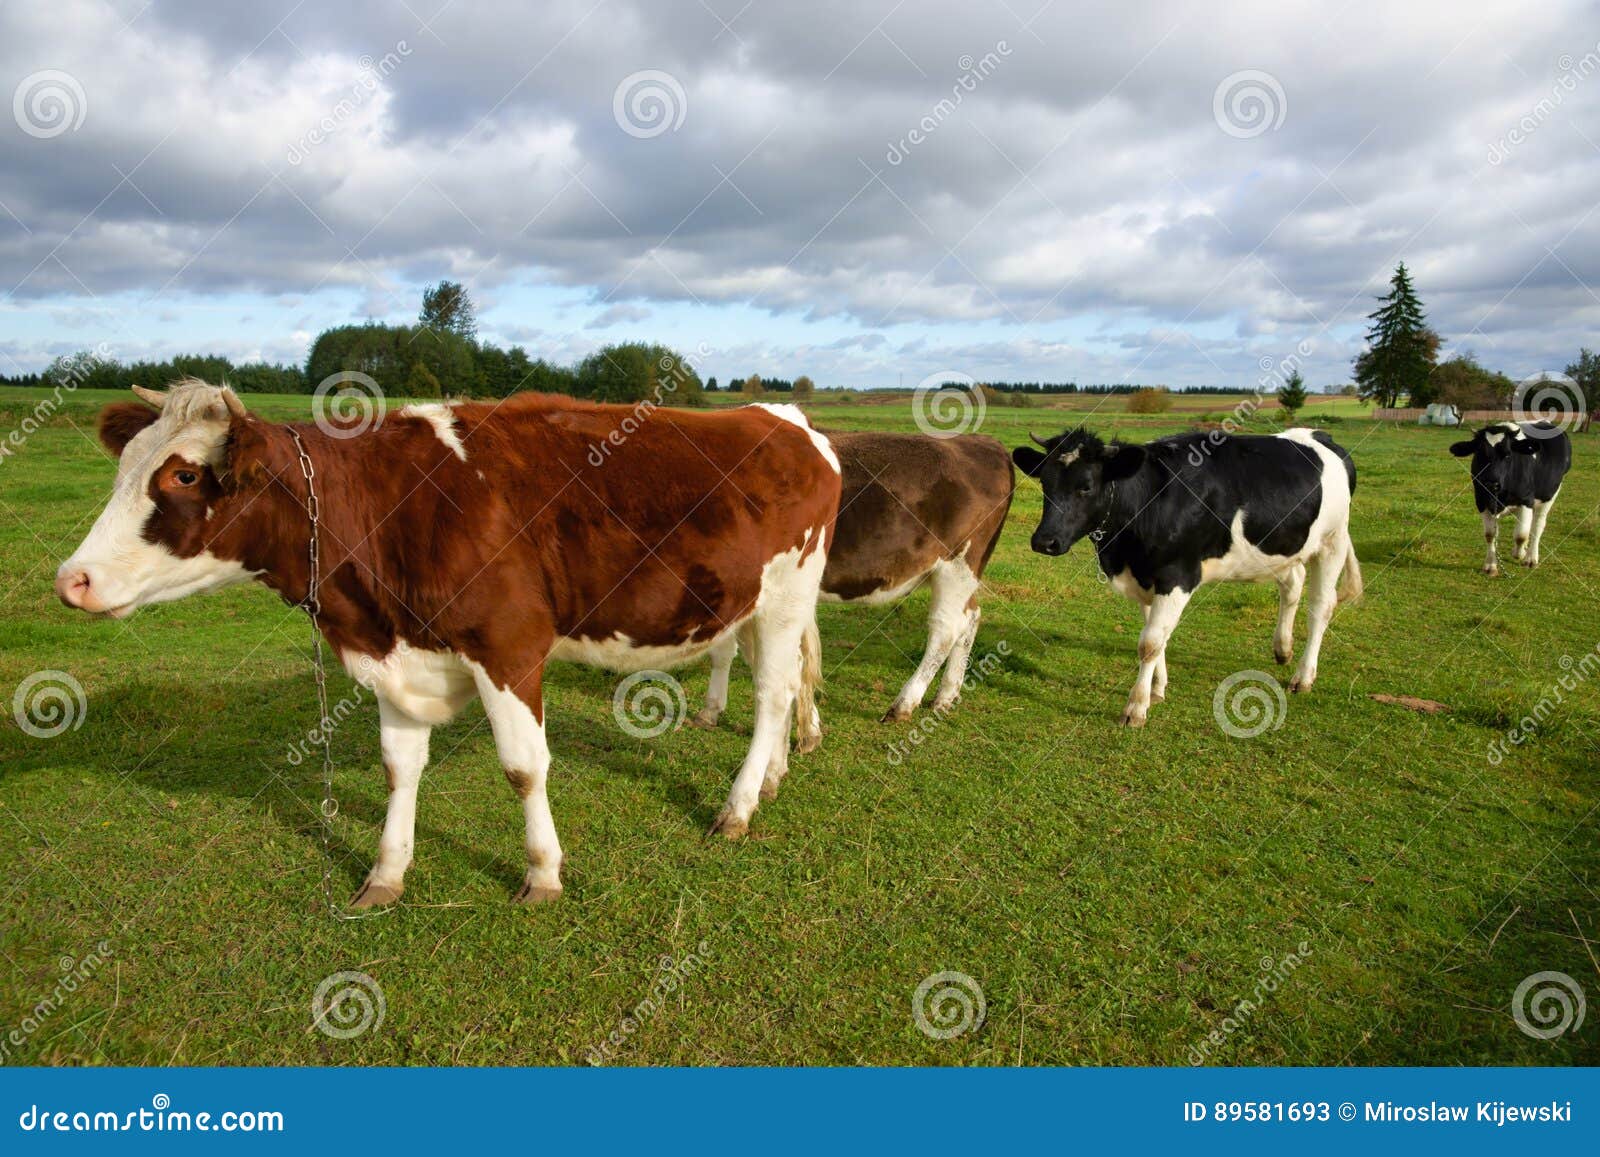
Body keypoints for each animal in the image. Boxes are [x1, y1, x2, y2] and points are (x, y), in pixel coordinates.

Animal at [55, 380, 841, 906]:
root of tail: (786, 419)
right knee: (780, 689)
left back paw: (739, 806)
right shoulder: (399, 653)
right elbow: (399, 767)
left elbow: (523, 768)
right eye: (123, 467)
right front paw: (386, 872)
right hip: (753, 604)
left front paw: (542, 872)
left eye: (185, 473)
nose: (72, 579)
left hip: (785, 594)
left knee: (771, 695)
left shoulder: (509, 646)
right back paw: (772, 778)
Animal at [690, 431, 1013, 743]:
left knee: (946, 629)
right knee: (970, 618)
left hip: (956, 565)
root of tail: (980, 441)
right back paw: (946, 695)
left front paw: (808, 728)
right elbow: (725, 650)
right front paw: (711, 711)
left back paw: (904, 704)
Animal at [1012, 427, 1361, 726]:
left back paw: (1303, 676)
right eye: (1045, 483)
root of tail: (1321, 436)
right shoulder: (1146, 577)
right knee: (1292, 584)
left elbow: (1150, 642)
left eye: (1085, 486)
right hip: (1286, 547)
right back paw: (1283, 648)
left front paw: (1136, 707)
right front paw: (1157, 689)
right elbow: (1158, 635)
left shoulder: (1176, 575)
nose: (1044, 541)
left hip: (1333, 541)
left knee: (1321, 607)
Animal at [1448, 421, 1571, 575]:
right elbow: (1490, 534)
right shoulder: (1481, 502)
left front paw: (1520, 554)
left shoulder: (1526, 501)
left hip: (1550, 496)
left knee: (1537, 525)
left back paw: (1530, 558)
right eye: (1480, 454)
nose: (1491, 483)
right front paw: (1490, 566)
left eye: (1507, 455)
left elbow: (1521, 535)